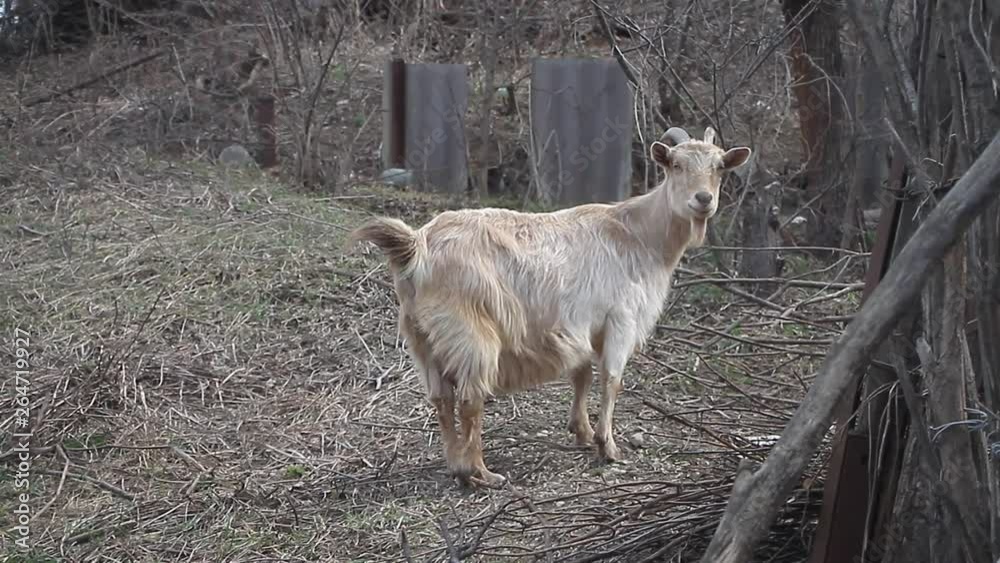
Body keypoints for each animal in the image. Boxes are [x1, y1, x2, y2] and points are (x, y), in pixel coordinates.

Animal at [351, 127, 751, 486]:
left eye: (719, 167)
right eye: (677, 165)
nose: (703, 200)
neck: (637, 234)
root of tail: (417, 245)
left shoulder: (584, 325)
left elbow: (581, 374)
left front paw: (582, 432)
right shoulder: (621, 318)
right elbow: (612, 379)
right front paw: (608, 447)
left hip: (420, 337)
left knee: (440, 398)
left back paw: (456, 466)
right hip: (471, 334)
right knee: (469, 398)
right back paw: (480, 472)